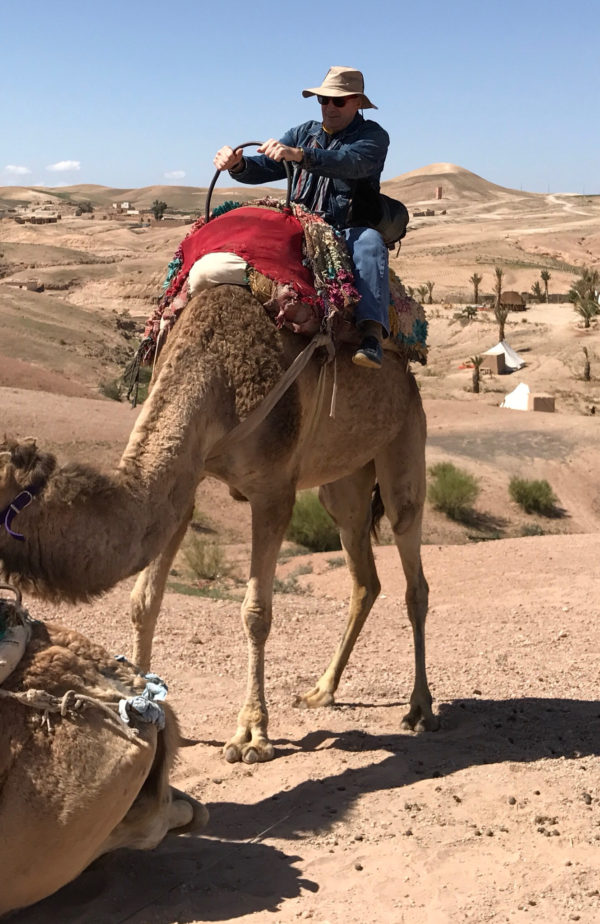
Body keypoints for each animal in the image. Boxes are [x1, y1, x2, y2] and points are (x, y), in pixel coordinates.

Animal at [0, 282, 437, 767]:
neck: (213, 373)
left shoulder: (273, 490)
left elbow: (256, 612)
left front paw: (251, 735)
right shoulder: (184, 484)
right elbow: (144, 600)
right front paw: (142, 711)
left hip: (405, 436)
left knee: (411, 562)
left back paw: (420, 708)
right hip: (344, 480)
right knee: (364, 576)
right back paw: (321, 691)